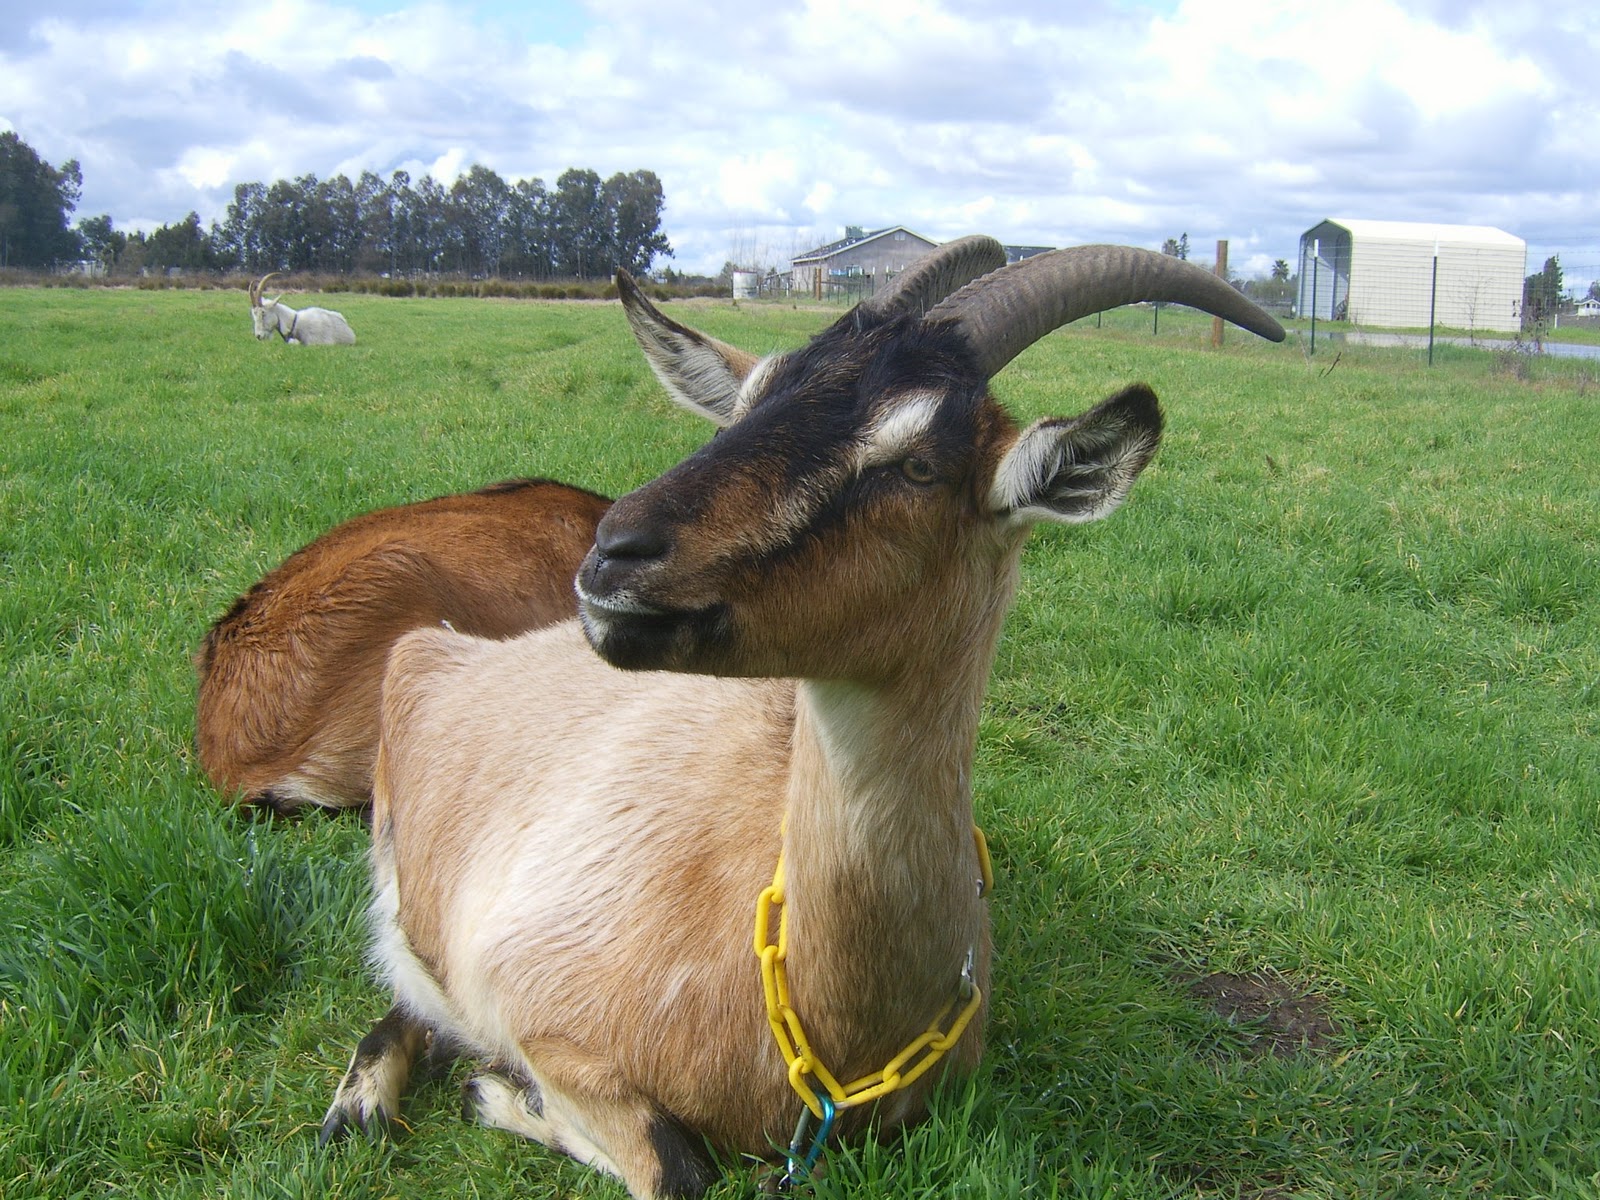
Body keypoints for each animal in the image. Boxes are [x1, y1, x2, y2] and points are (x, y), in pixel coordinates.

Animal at [319, 239, 1284, 1198]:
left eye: (917, 464)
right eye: (744, 408)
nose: (614, 554)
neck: (831, 1022)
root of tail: (438, 650)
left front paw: (500, 1095)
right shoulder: (544, 1013)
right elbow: (673, 1164)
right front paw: (505, 1094)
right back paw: (361, 1104)